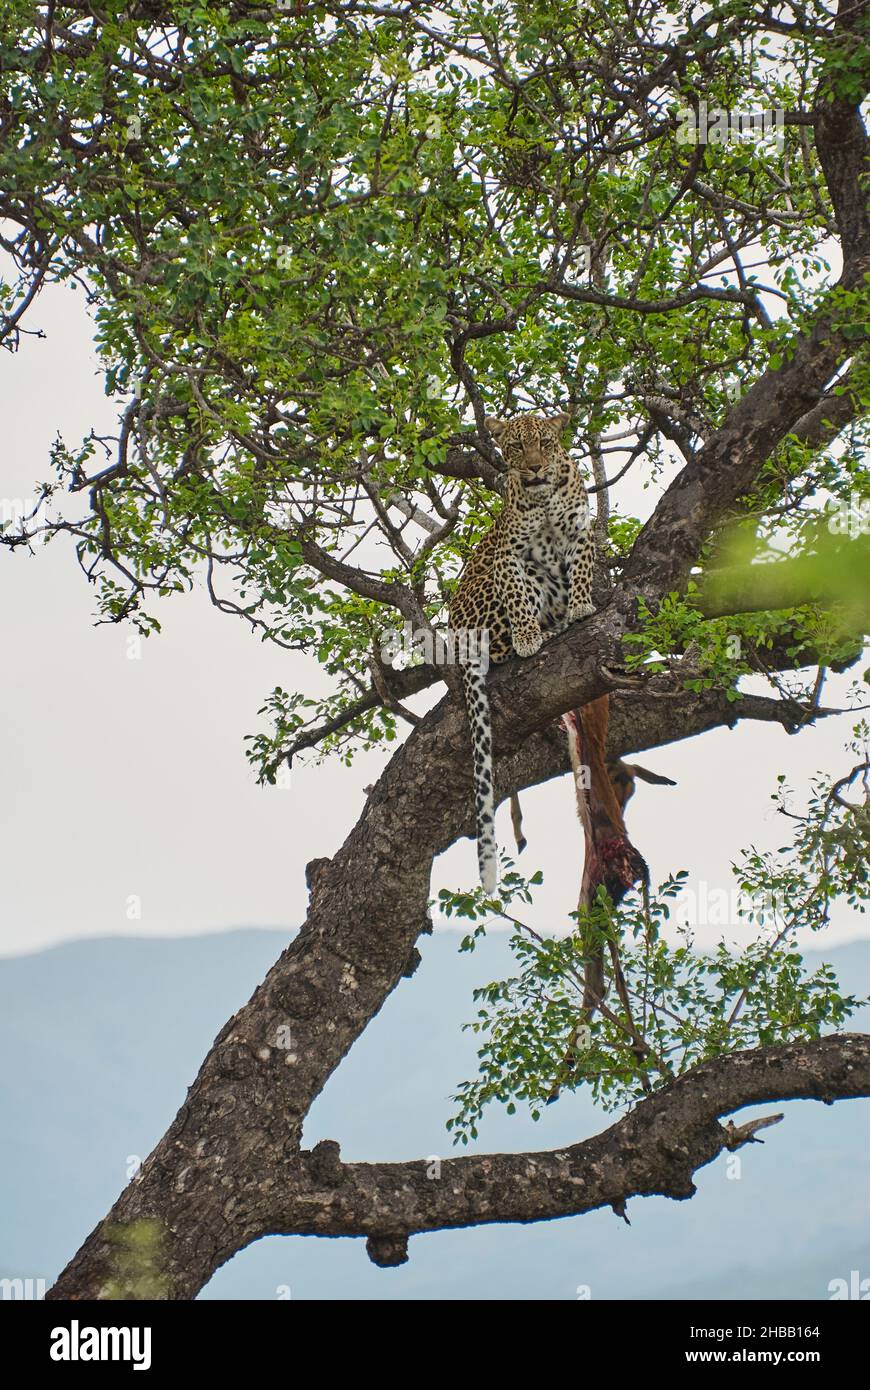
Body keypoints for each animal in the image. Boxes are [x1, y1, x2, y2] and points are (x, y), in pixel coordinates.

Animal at [448, 410, 596, 891]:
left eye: (545, 443)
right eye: (515, 447)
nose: (532, 468)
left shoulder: (580, 533)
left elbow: (582, 568)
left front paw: (582, 604)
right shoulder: (509, 556)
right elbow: (516, 596)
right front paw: (530, 637)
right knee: (501, 645)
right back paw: (539, 636)